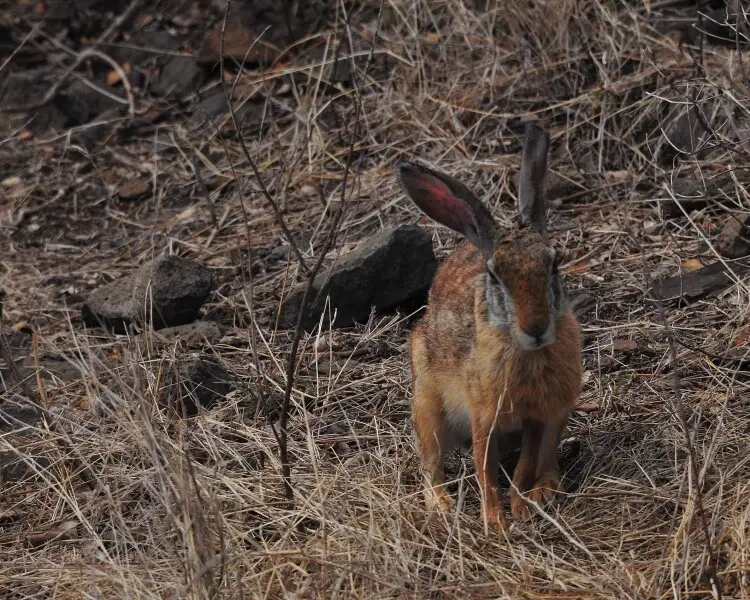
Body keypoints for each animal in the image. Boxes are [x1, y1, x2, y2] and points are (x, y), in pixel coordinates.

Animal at [396, 122, 582, 531]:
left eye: (554, 264)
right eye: (495, 276)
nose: (536, 327)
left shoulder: (537, 416)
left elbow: (524, 463)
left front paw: (519, 508)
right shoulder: (484, 416)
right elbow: (485, 468)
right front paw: (494, 520)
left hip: (560, 411)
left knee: (547, 459)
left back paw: (544, 491)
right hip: (427, 406)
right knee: (431, 464)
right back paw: (442, 504)